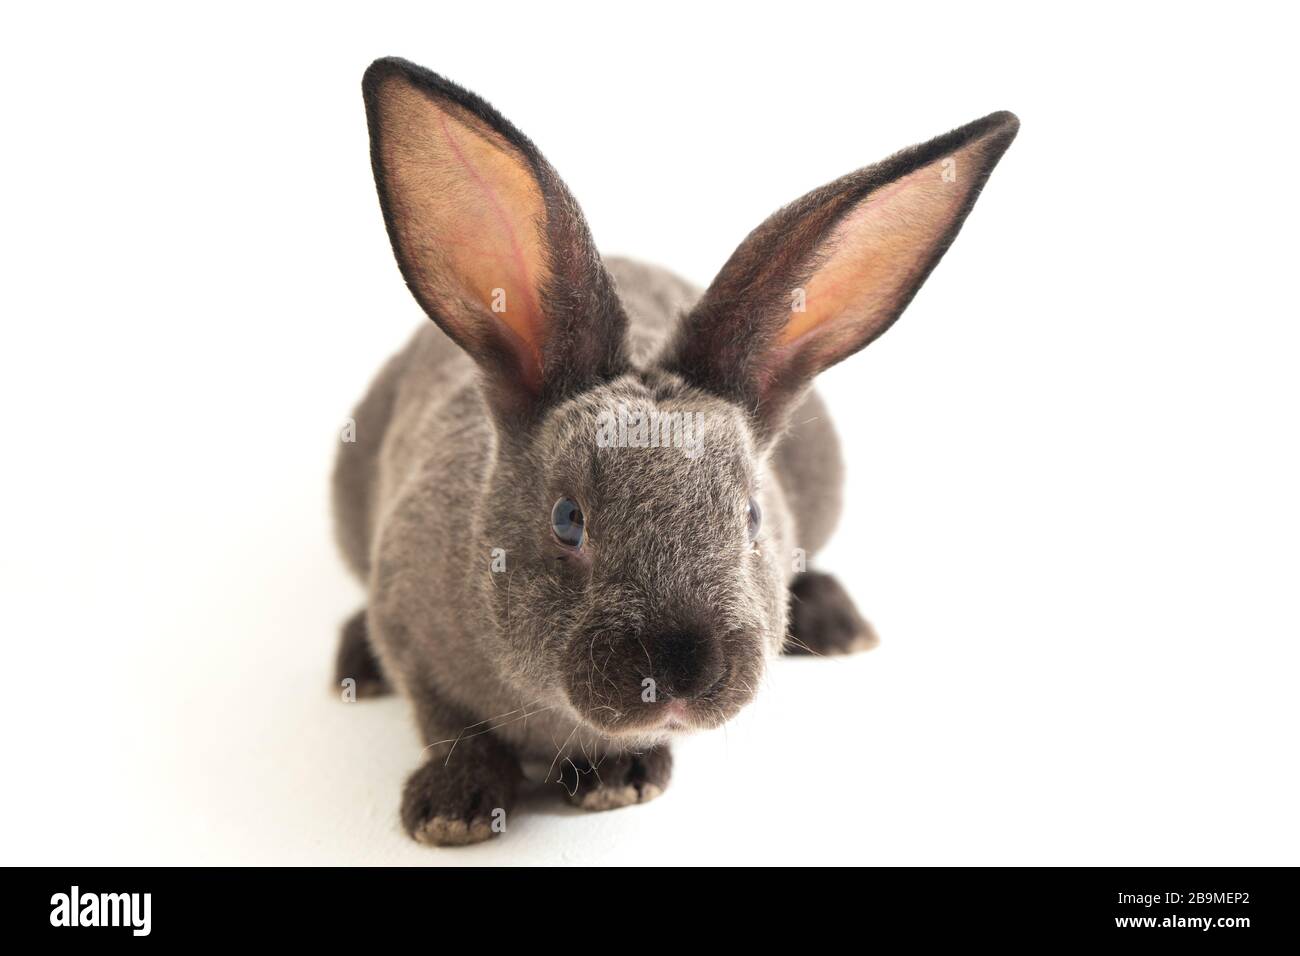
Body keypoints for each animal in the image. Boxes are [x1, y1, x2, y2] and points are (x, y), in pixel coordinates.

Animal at [333, 56, 1018, 846]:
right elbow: (450, 725)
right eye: (568, 519)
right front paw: (454, 809)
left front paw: (619, 780)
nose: (682, 673)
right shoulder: (411, 631)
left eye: (752, 517)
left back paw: (837, 624)